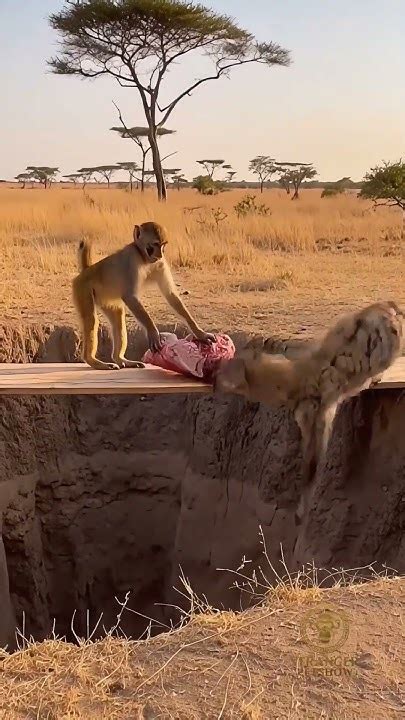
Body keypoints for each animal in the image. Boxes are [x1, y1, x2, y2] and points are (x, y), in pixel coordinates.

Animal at [72, 222, 216, 370]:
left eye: (163, 244)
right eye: (154, 244)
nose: (160, 254)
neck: (142, 257)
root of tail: (86, 271)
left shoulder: (160, 263)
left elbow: (171, 295)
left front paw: (200, 333)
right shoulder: (132, 259)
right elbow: (130, 297)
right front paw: (153, 332)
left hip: (104, 299)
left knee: (117, 316)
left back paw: (120, 359)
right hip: (83, 289)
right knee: (91, 320)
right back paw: (93, 361)